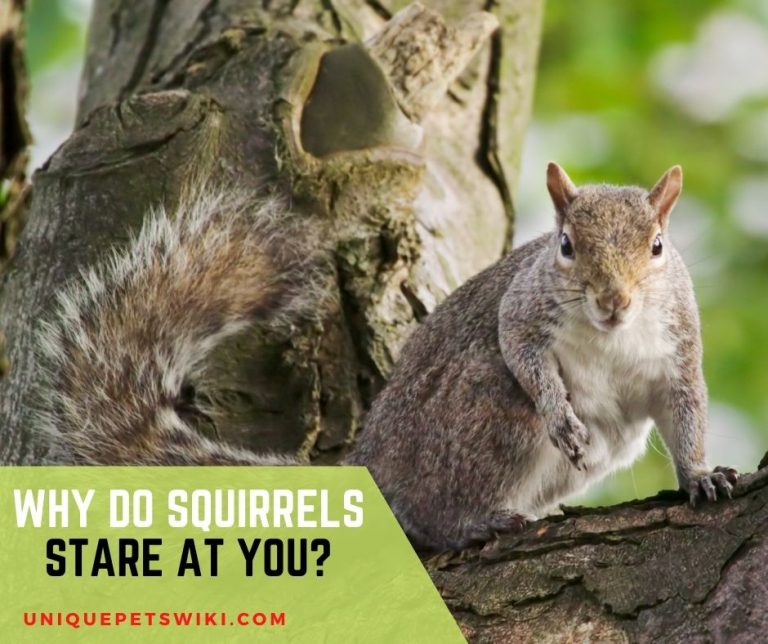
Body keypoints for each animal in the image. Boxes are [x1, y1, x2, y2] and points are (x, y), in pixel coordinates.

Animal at [35, 164, 736, 551]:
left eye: (657, 247)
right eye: (565, 245)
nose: (614, 301)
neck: (611, 335)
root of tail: (373, 464)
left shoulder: (676, 351)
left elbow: (687, 413)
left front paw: (702, 477)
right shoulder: (524, 311)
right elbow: (523, 355)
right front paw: (562, 415)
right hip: (488, 413)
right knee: (428, 514)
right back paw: (472, 525)